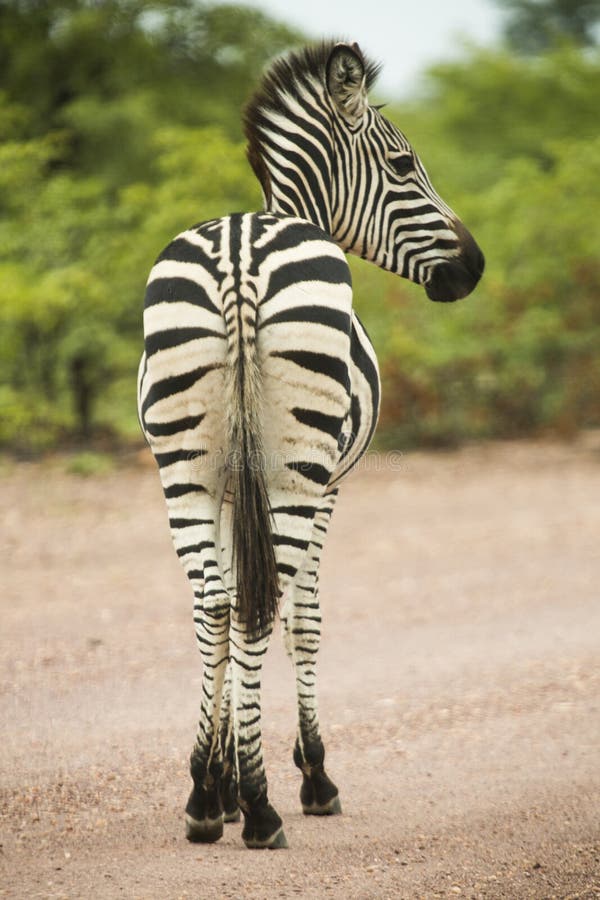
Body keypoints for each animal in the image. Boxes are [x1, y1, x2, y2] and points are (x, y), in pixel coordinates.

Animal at [137, 40, 484, 850]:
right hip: (297, 473)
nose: (475, 267)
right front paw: (306, 773)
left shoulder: (233, 484)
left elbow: (230, 603)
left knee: (214, 604)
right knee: (259, 610)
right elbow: (305, 619)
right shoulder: (329, 487)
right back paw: (266, 808)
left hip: (184, 468)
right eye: (403, 164)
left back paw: (204, 801)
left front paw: (221, 779)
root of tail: (238, 250)